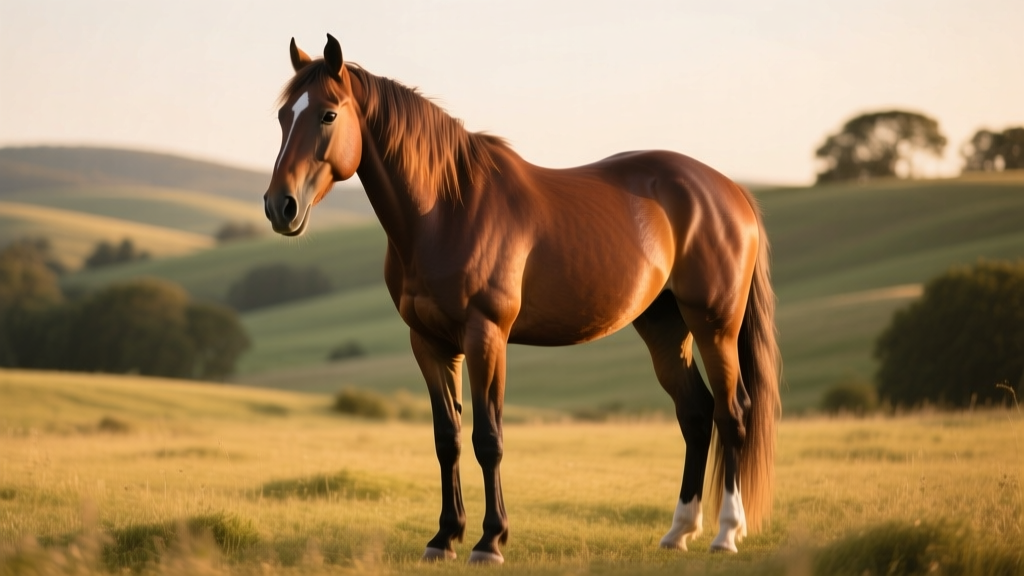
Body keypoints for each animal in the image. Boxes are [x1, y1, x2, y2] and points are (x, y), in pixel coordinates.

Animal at [264, 34, 780, 564]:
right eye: (283, 115)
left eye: (328, 114)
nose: (280, 207)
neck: (445, 211)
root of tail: (731, 191)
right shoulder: (429, 343)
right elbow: (447, 439)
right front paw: (443, 538)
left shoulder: (485, 336)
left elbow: (487, 438)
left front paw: (489, 541)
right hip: (664, 326)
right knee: (695, 414)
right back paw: (679, 531)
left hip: (715, 326)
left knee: (732, 413)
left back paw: (725, 533)